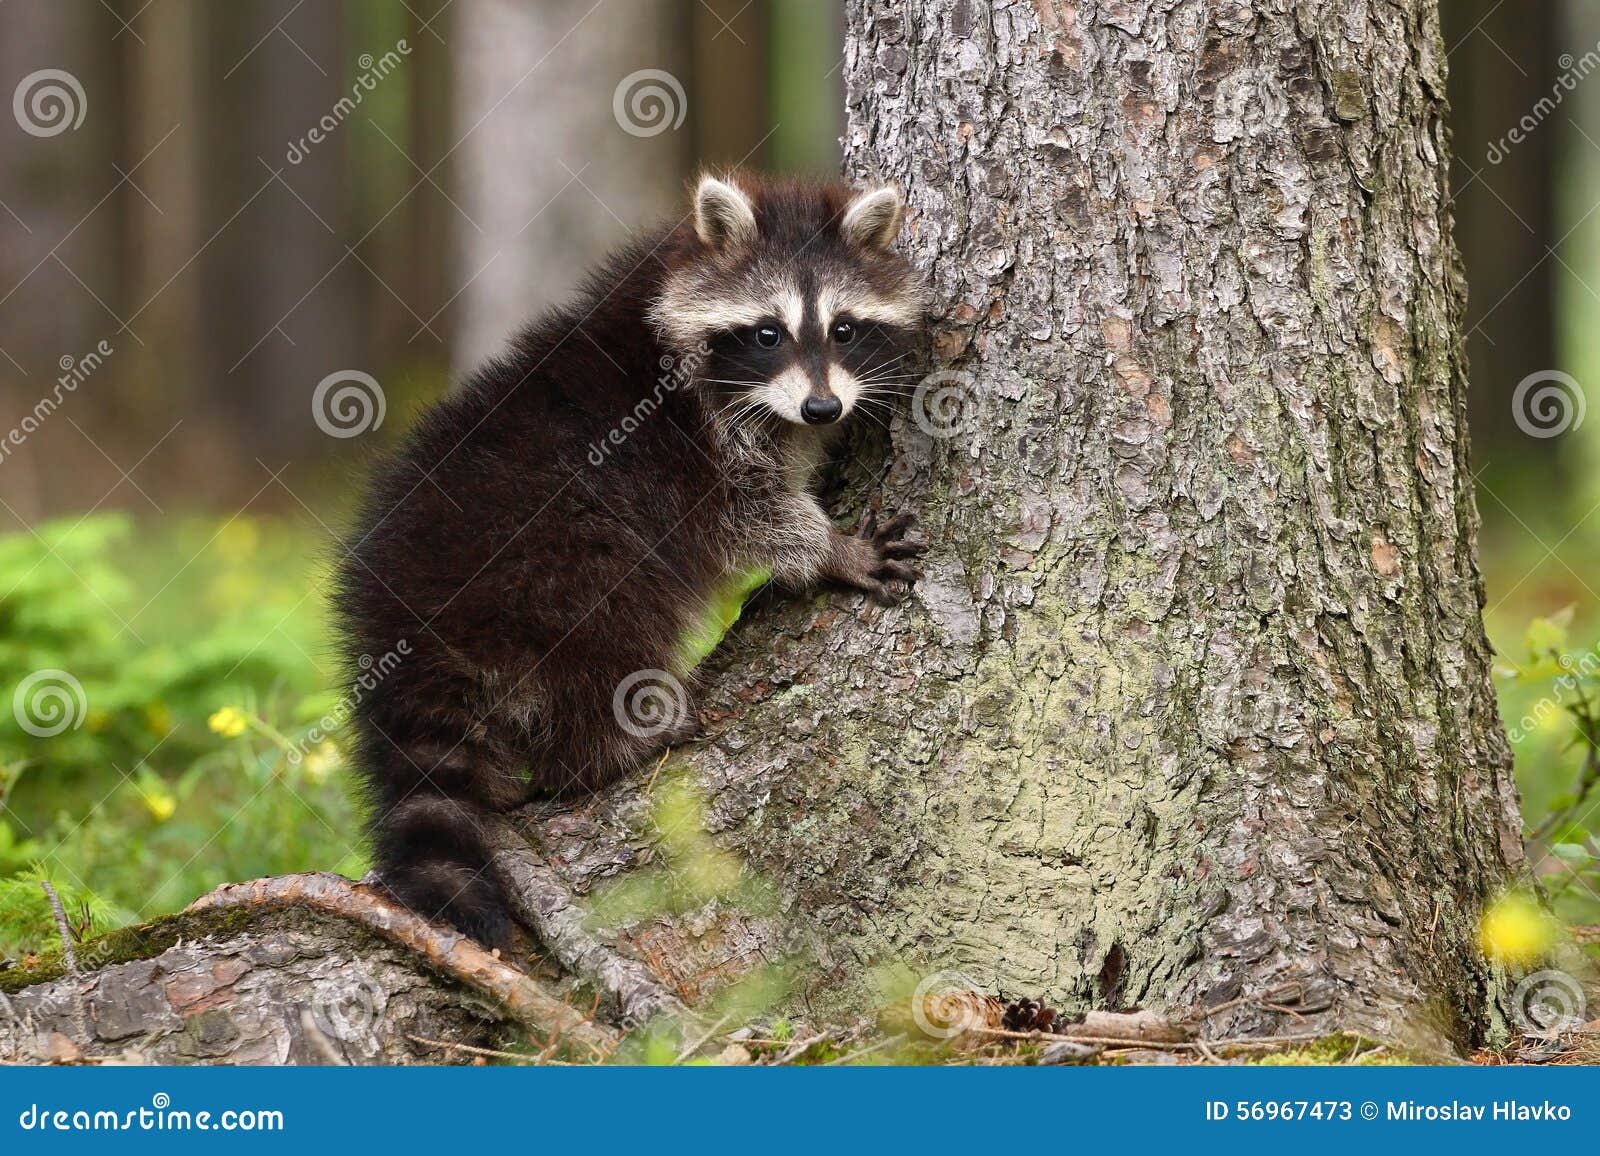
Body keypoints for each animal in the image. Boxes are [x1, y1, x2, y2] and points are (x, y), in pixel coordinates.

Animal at [334, 173, 928, 947]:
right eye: (768, 333)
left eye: (845, 329)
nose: (824, 409)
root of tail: (406, 615)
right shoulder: (703, 443)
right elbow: (751, 515)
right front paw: (831, 549)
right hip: (552, 571)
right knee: (608, 637)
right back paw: (616, 743)